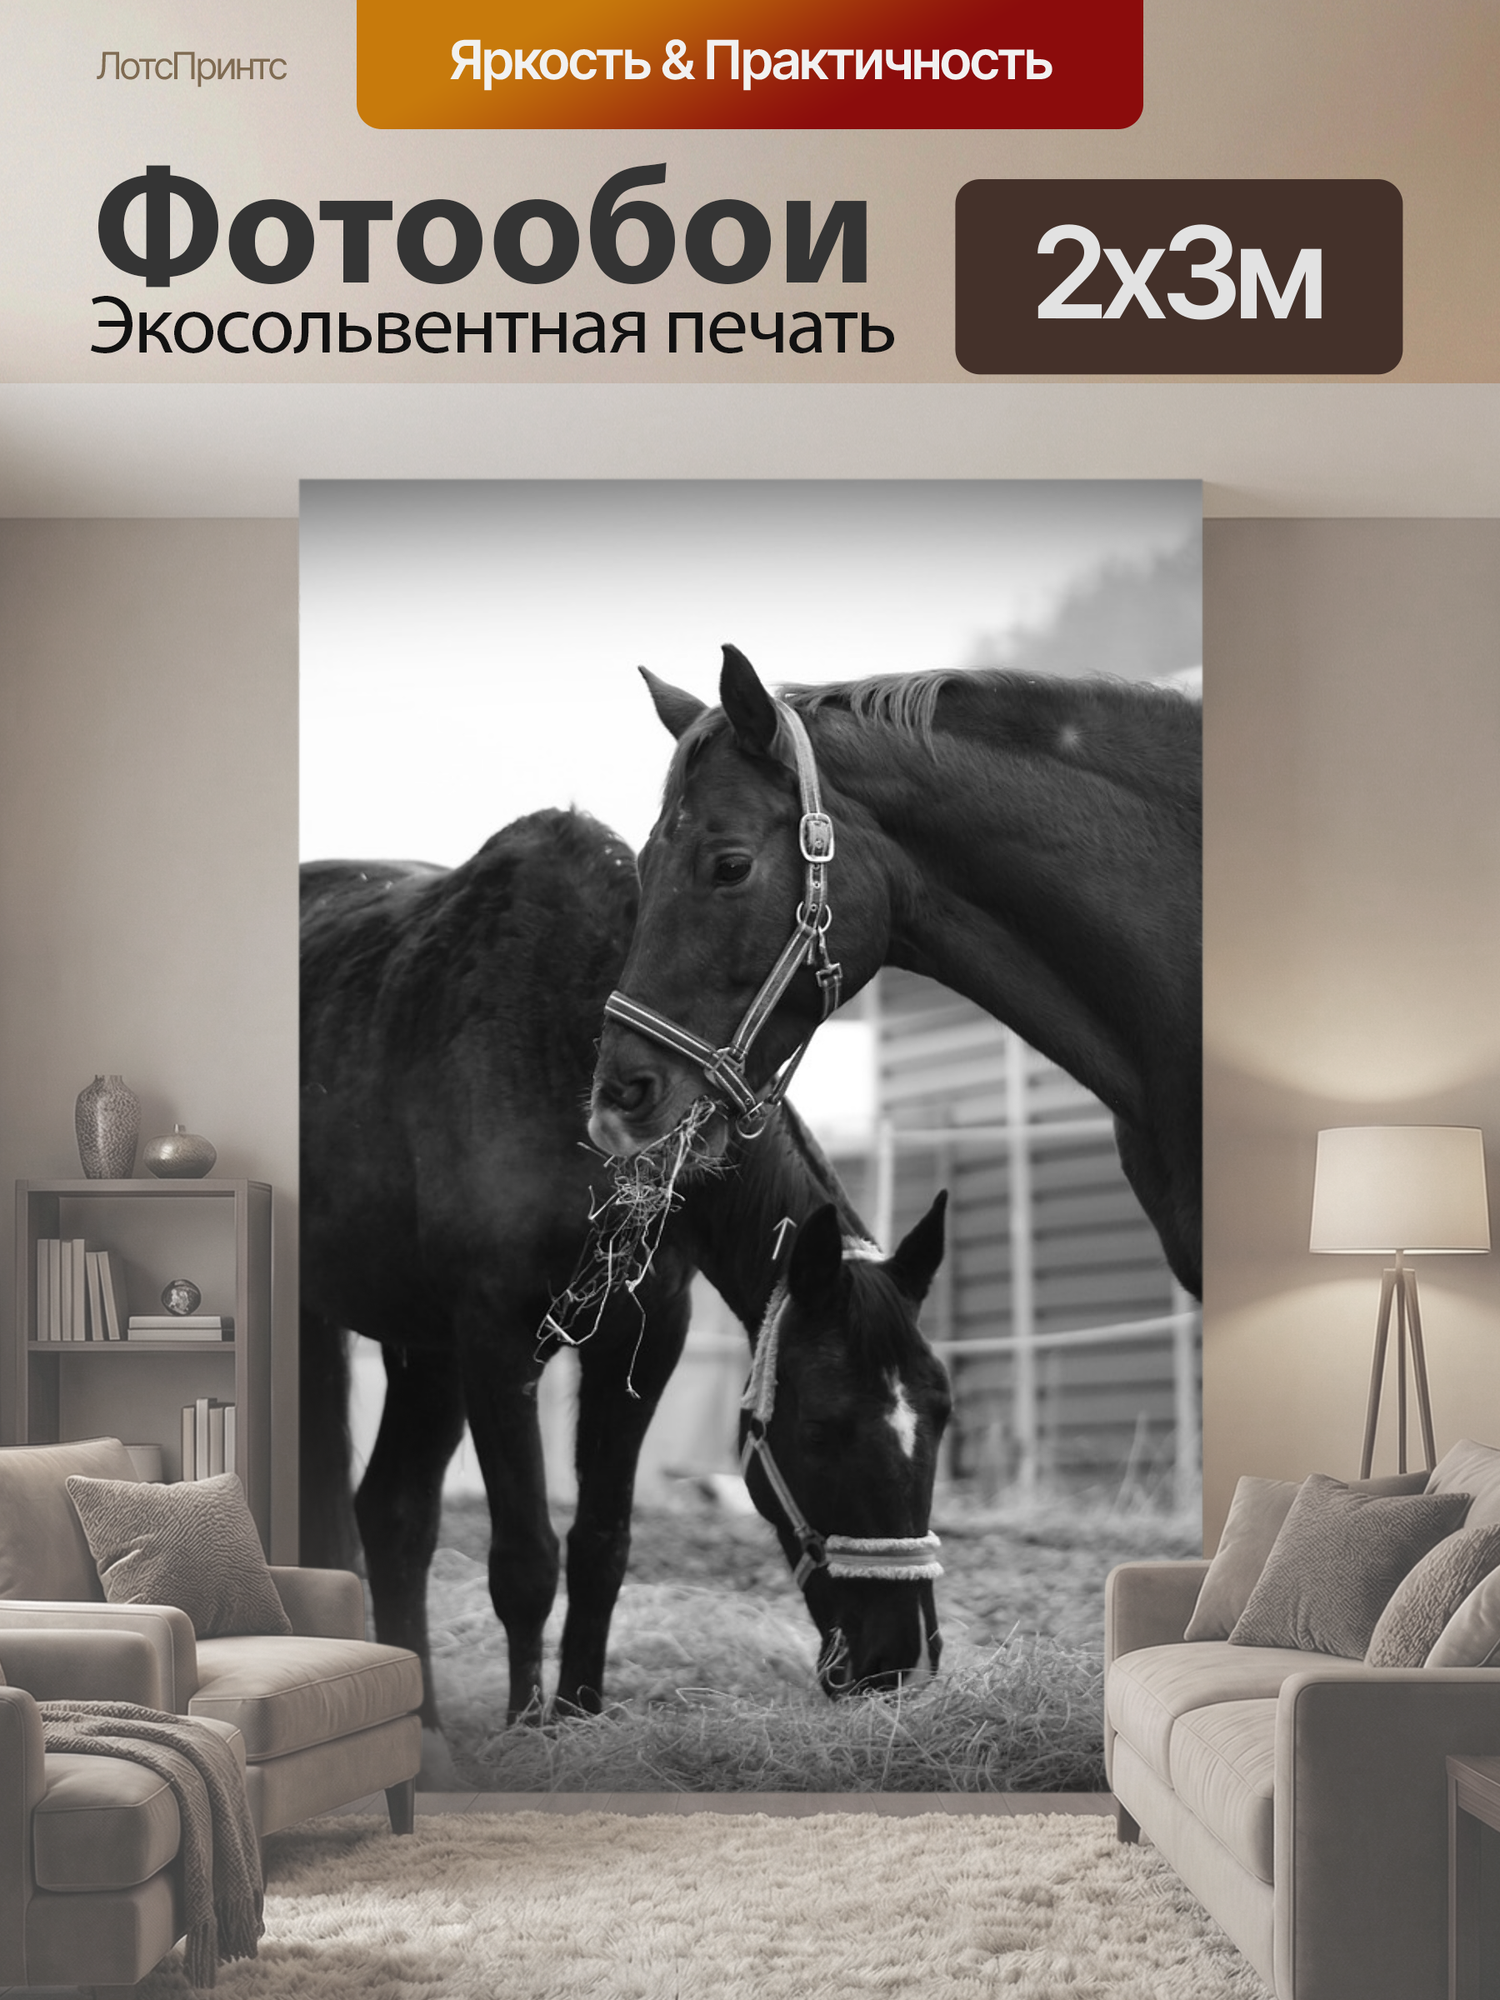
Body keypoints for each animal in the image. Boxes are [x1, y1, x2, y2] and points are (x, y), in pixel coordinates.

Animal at [299, 807, 950, 1755]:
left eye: (942, 1417)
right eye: (821, 1427)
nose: (898, 1659)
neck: (562, 1041)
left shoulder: (642, 1336)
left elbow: (601, 1545)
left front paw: (579, 1714)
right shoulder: (498, 1338)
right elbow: (525, 1558)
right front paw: (527, 1731)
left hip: (424, 1350)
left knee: (394, 1511)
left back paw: (421, 1723)